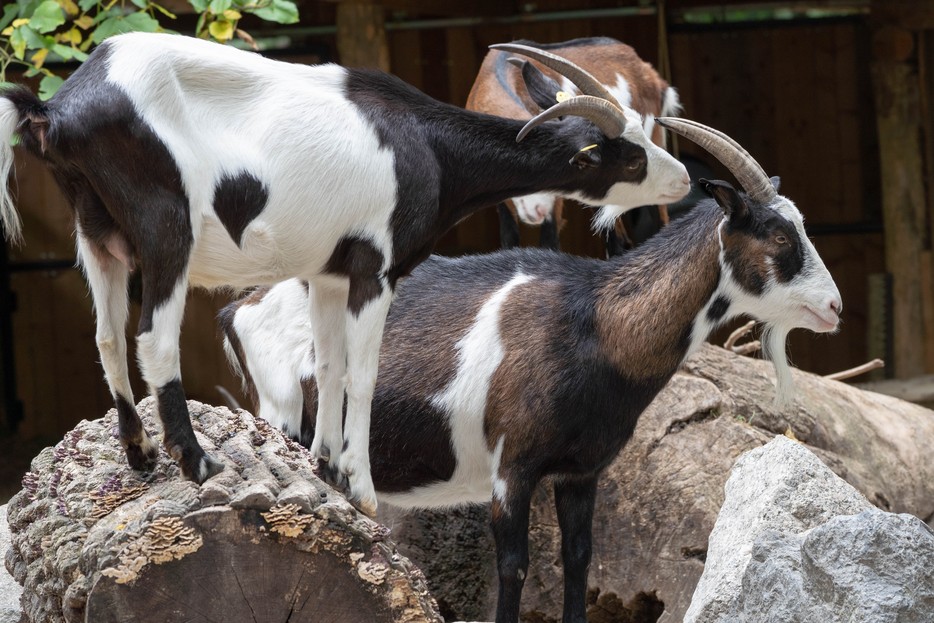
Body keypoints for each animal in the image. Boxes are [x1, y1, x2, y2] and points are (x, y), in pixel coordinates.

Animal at [220, 119, 842, 622]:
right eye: (780, 235)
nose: (833, 307)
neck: (596, 324)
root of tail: (241, 308)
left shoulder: (581, 472)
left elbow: (578, 562)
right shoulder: (511, 468)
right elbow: (514, 568)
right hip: (280, 413)